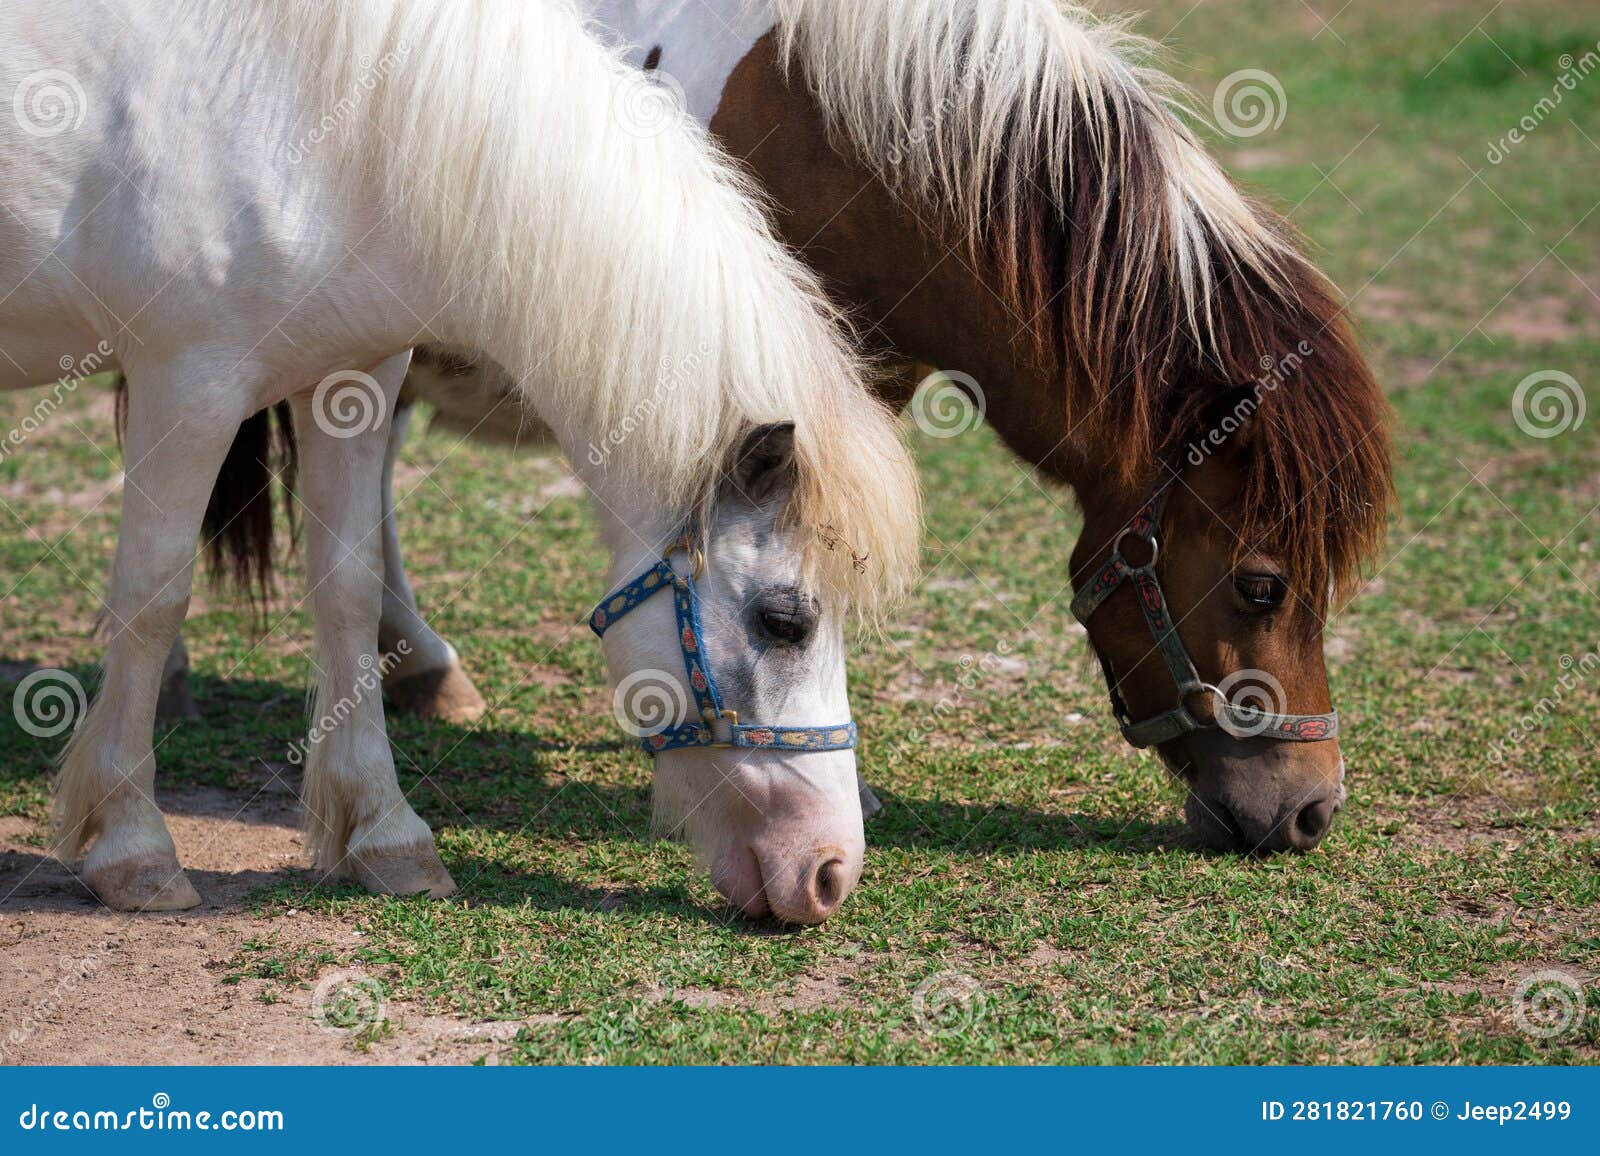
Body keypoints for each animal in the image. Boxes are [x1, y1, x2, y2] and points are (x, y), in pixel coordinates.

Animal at [0, 0, 920, 924]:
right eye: (785, 622)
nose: (831, 871)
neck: (318, 122)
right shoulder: (187, 384)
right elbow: (153, 599)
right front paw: (133, 847)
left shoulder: (352, 377)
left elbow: (347, 590)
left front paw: (387, 836)